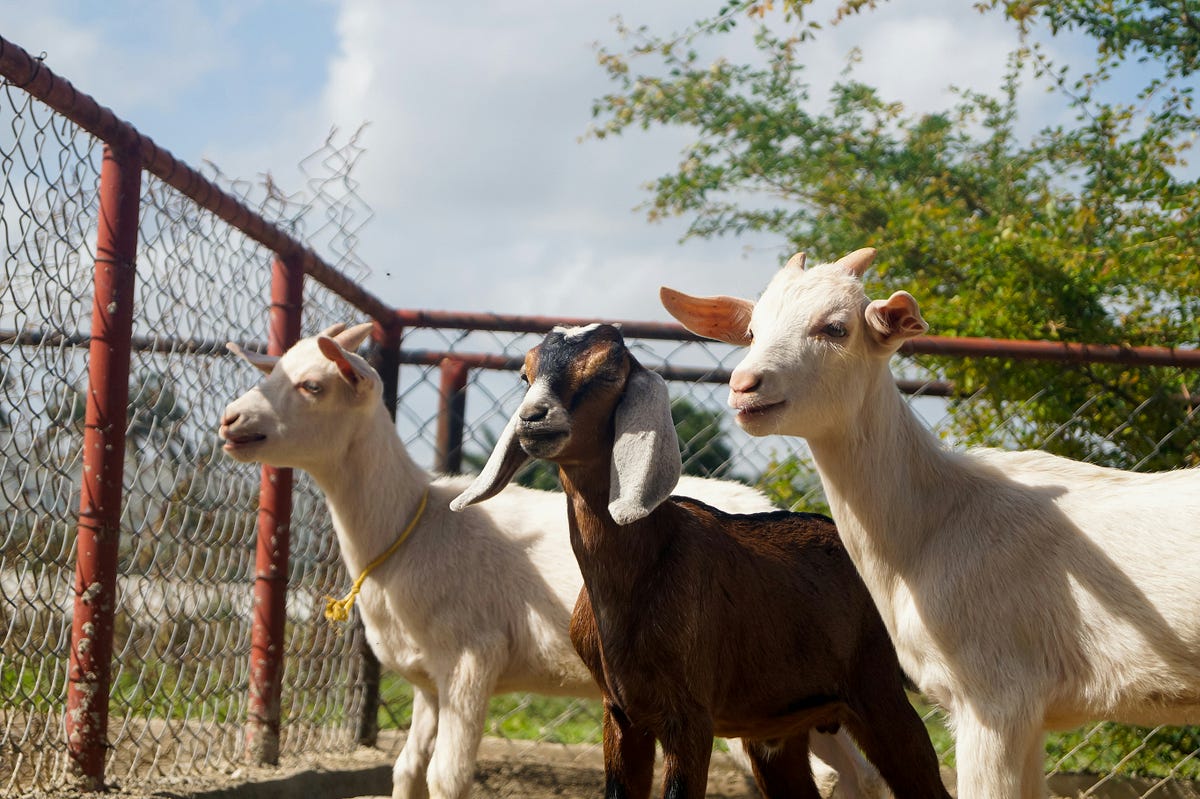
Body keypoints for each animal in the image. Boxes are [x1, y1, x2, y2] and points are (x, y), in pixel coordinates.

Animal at [219, 322, 888, 799]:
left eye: (313, 385)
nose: (230, 420)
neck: (410, 524)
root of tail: (768, 505)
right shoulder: (428, 683)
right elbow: (406, 773)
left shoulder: (472, 658)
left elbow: (445, 777)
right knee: (856, 776)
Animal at [450, 322, 950, 799]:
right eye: (525, 374)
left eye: (607, 372)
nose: (533, 419)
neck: (645, 566)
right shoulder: (620, 714)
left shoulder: (690, 718)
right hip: (777, 729)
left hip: (879, 692)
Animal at [661, 248, 1200, 799]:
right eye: (752, 331)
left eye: (836, 328)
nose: (744, 386)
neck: (932, 523)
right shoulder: (1028, 716)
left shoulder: (997, 697)